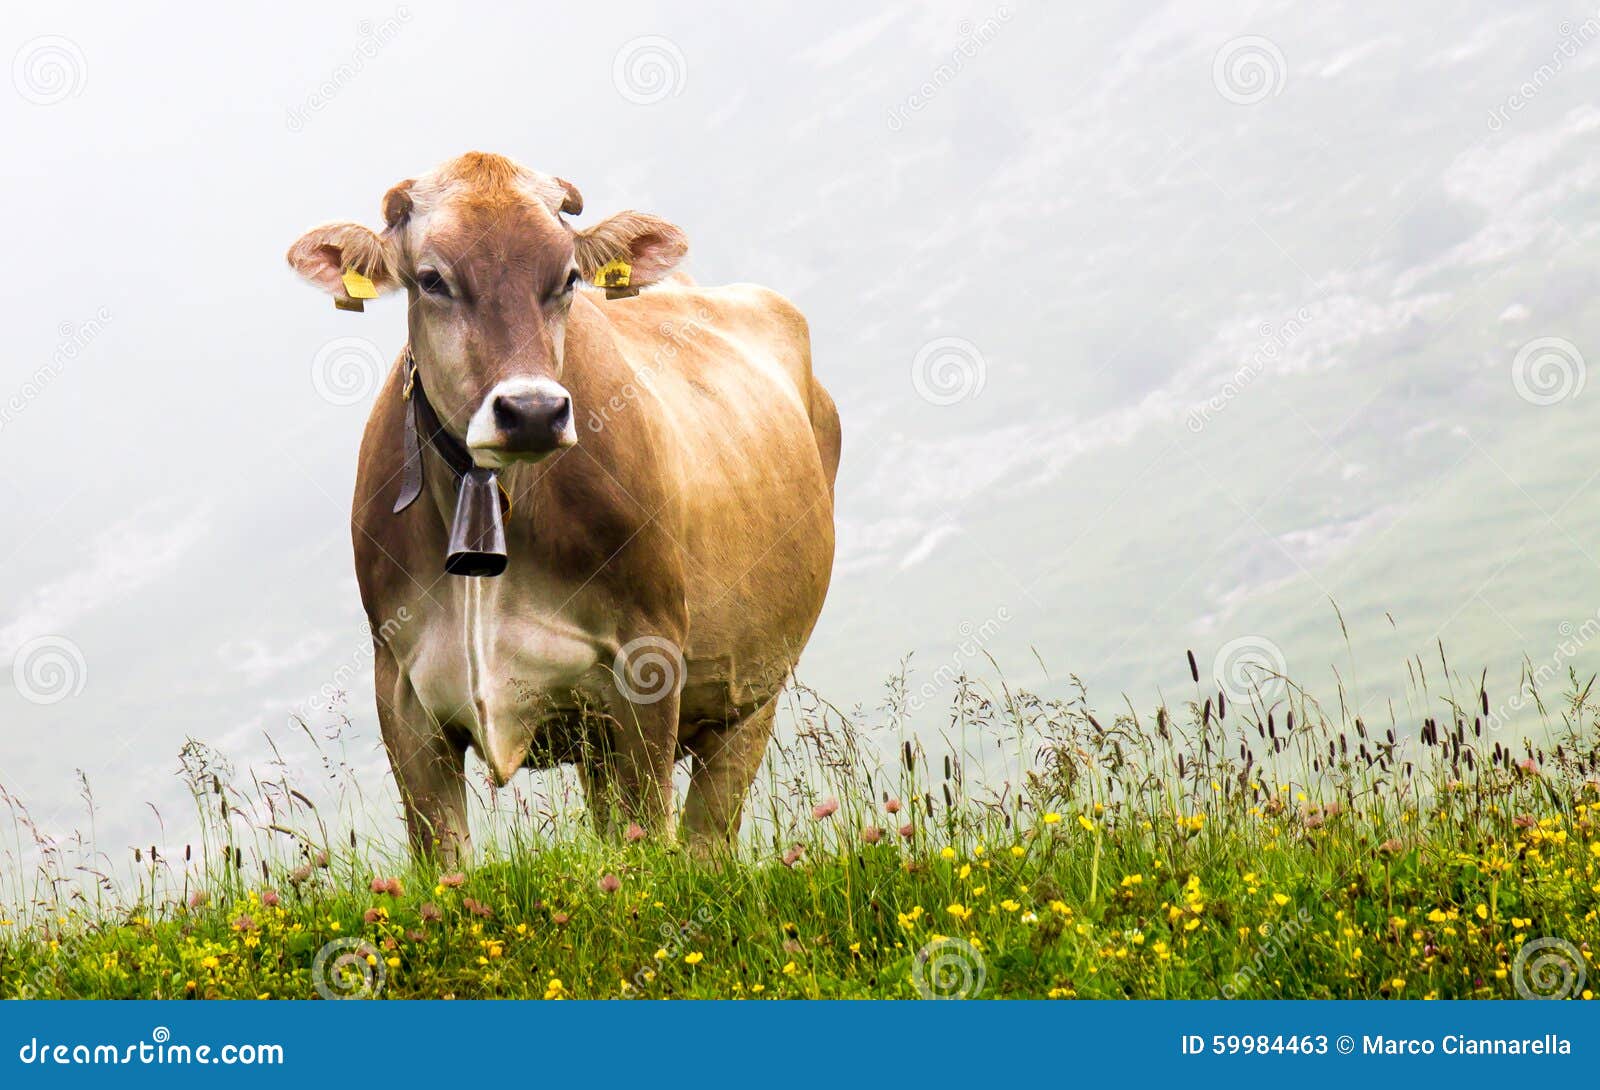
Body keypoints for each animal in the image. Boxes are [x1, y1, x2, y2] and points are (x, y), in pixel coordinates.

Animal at [287, 152, 839, 864]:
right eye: (433, 280)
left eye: (569, 276)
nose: (531, 411)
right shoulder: (404, 696)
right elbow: (445, 862)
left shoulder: (648, 662)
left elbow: (645, 847)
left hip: (753, 691)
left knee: (706, 835)